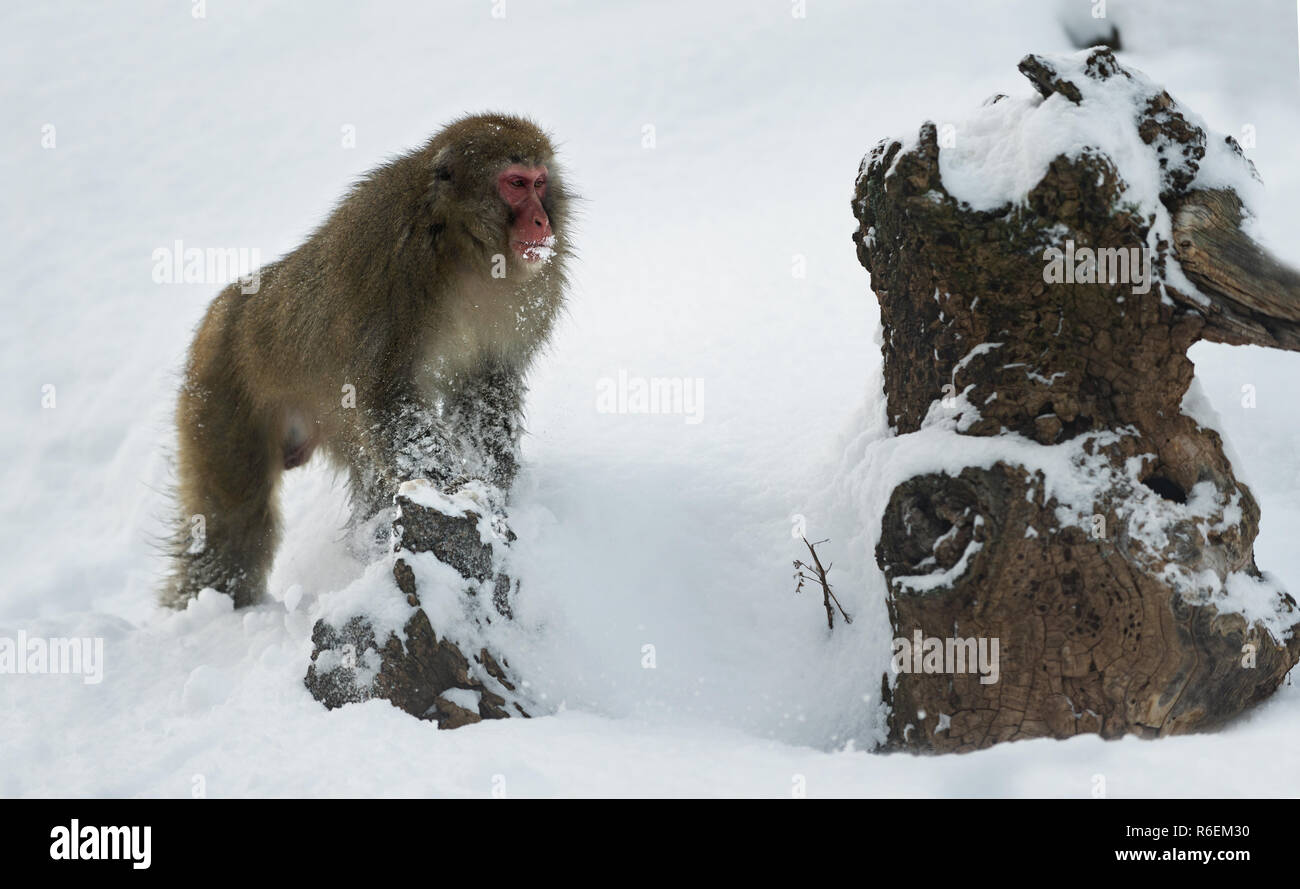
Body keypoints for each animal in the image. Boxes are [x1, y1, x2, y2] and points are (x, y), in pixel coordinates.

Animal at [165, 113, 571, 609]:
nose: (542, 219)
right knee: (234, 527)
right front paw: (453, 490)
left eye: (540, 181)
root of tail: (224, 308)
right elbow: (387, 394)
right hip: (218, 389)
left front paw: (489, 485)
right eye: (515, 183)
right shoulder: (387, 268)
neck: (463, 249)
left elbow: (483, 390)